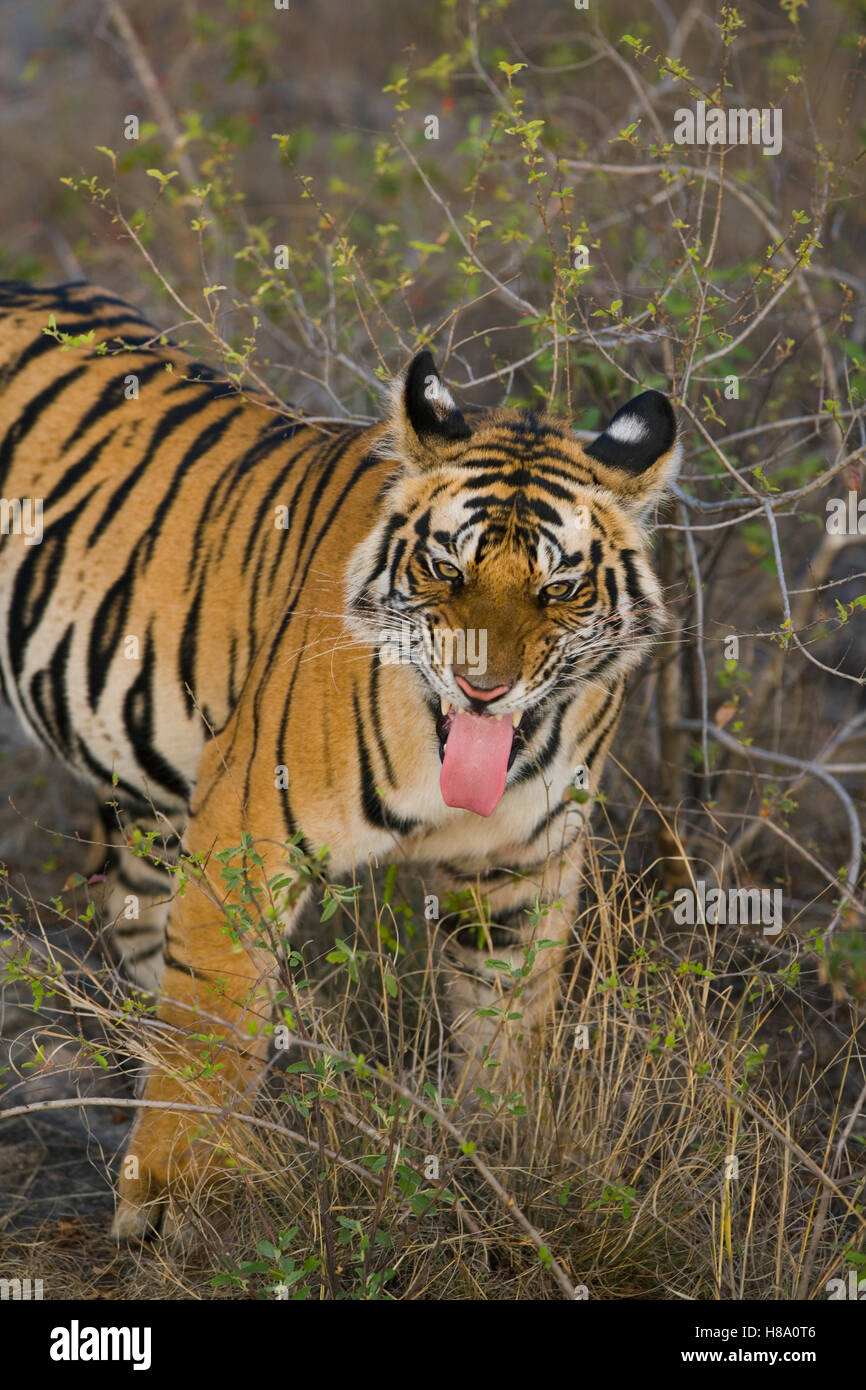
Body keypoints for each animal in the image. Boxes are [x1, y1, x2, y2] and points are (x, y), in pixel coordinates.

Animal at [0, 280, 680, 1238]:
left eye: (559, 588)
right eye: (446, 570)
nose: (483, 688)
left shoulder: (522, 866)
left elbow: (508, 1034)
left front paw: (501, 1174)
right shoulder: (246, 839)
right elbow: (209, 1033)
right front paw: (165, 1204)